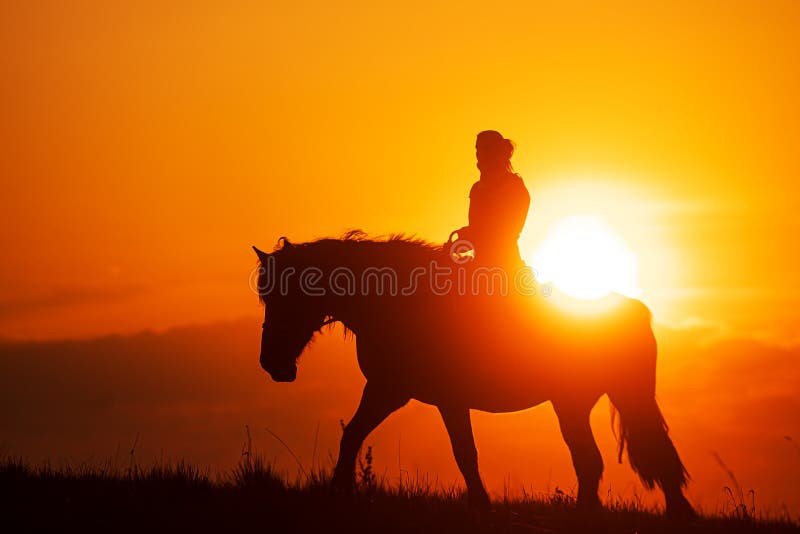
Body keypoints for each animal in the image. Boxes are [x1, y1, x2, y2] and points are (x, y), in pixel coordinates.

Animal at [251, 233, 695, 518]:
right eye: (266, 295)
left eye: (287, 295)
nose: (273, 365)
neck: (398, 306)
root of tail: (633, 309)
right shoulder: (387, 390)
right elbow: (353, 435)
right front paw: (339, 491)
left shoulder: (435, 397)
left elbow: (465, 453)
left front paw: (480, 504)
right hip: (586, 402)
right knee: (608, 458)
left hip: (590, 401)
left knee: (612, 456)